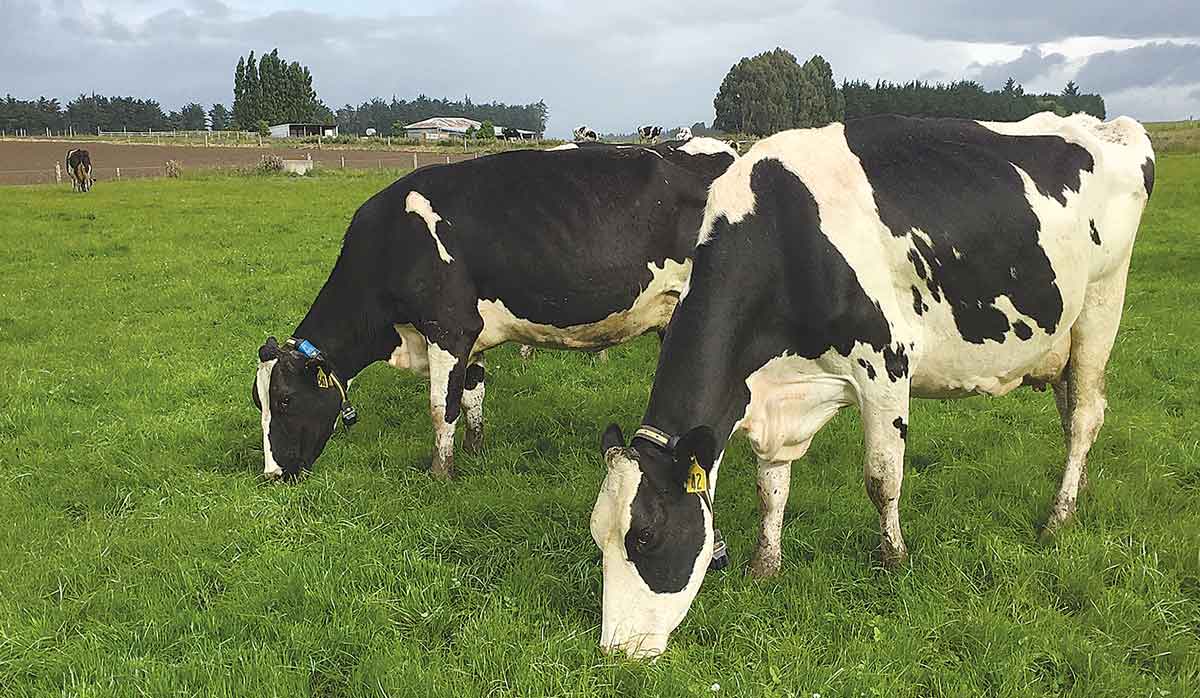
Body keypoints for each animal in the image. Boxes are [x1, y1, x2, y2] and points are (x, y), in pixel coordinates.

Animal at [253, 137, 738, 487]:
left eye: (285, 399)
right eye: (258, 401)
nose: (273, 475)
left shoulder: (448, 328)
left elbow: (441, 407)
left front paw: (441, 475)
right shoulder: (473, 338)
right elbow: (473, 397)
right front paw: (474, 451)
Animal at [590, 112, 1155, 658]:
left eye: (646, 536)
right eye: (599, 538)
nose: (617, 649)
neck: (785, 237)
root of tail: (1107, 126)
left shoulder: (886, 365)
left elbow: (882, 478)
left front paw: (894, 559)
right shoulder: (774, 396)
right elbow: (770, 488)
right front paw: (765, 564)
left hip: (1101, 307)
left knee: (1083, 417)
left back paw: (1058, 517)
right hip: (1059, 339)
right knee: (1075, 411)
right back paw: (1080, 491)